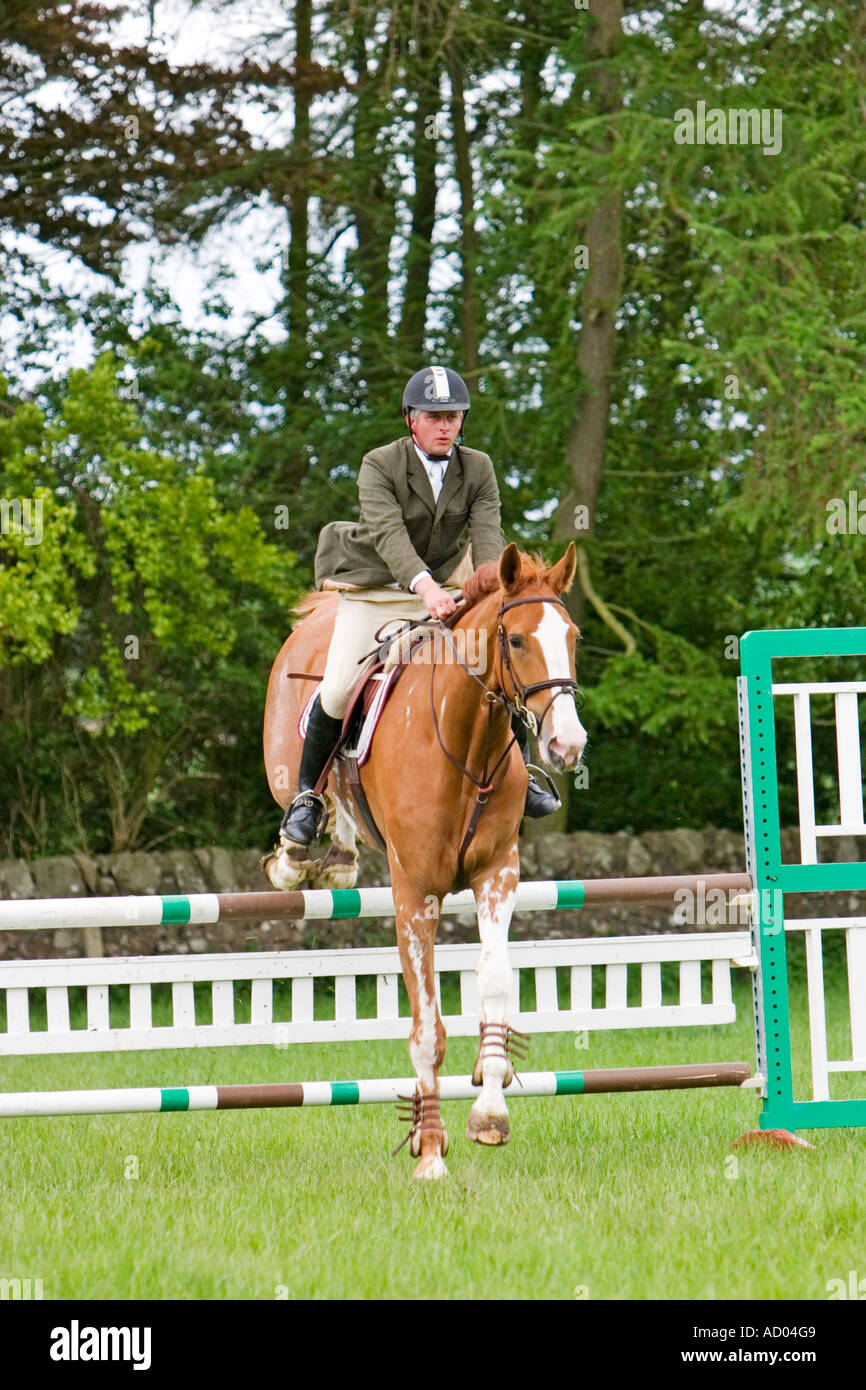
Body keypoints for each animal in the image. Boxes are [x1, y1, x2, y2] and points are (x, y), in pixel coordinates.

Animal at [262, 541, 587, 1178]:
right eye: (516, 640)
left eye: (573, 636)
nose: (569, 743)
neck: (466, 741)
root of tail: (320, 612)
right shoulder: (415, 894)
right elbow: (426, 1029)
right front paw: (432, 1153)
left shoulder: (497, 876)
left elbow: (494, 983)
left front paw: (489, 1113)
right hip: (295, 752)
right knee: (314, 782)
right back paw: (303, 844)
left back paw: (338, 856)